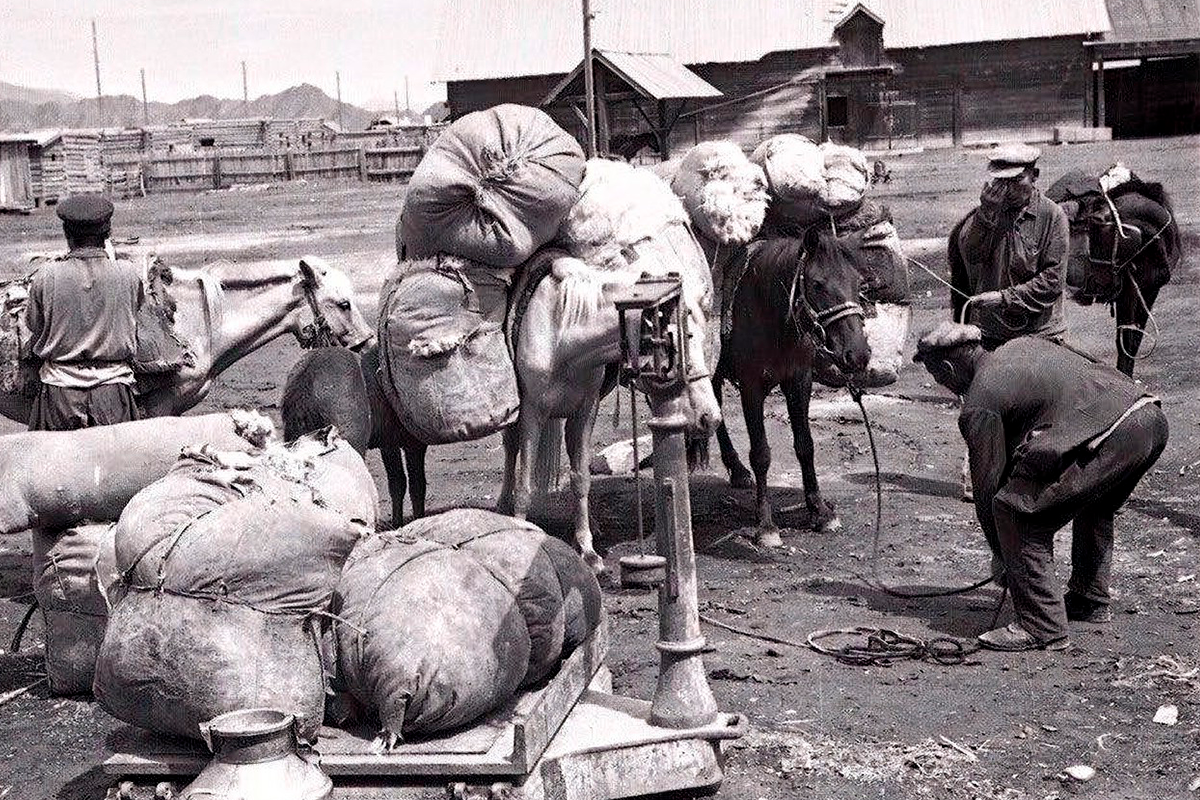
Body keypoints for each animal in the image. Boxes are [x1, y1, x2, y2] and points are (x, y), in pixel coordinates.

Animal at [700, 227, 868, 546]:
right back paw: (736, 468)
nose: (858, 354)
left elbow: (805, 445)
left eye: (858, 282)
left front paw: (819, 512)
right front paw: (766, 525)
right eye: (817, 284)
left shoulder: (799, 381)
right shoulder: (751, 387)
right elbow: (761, 454)